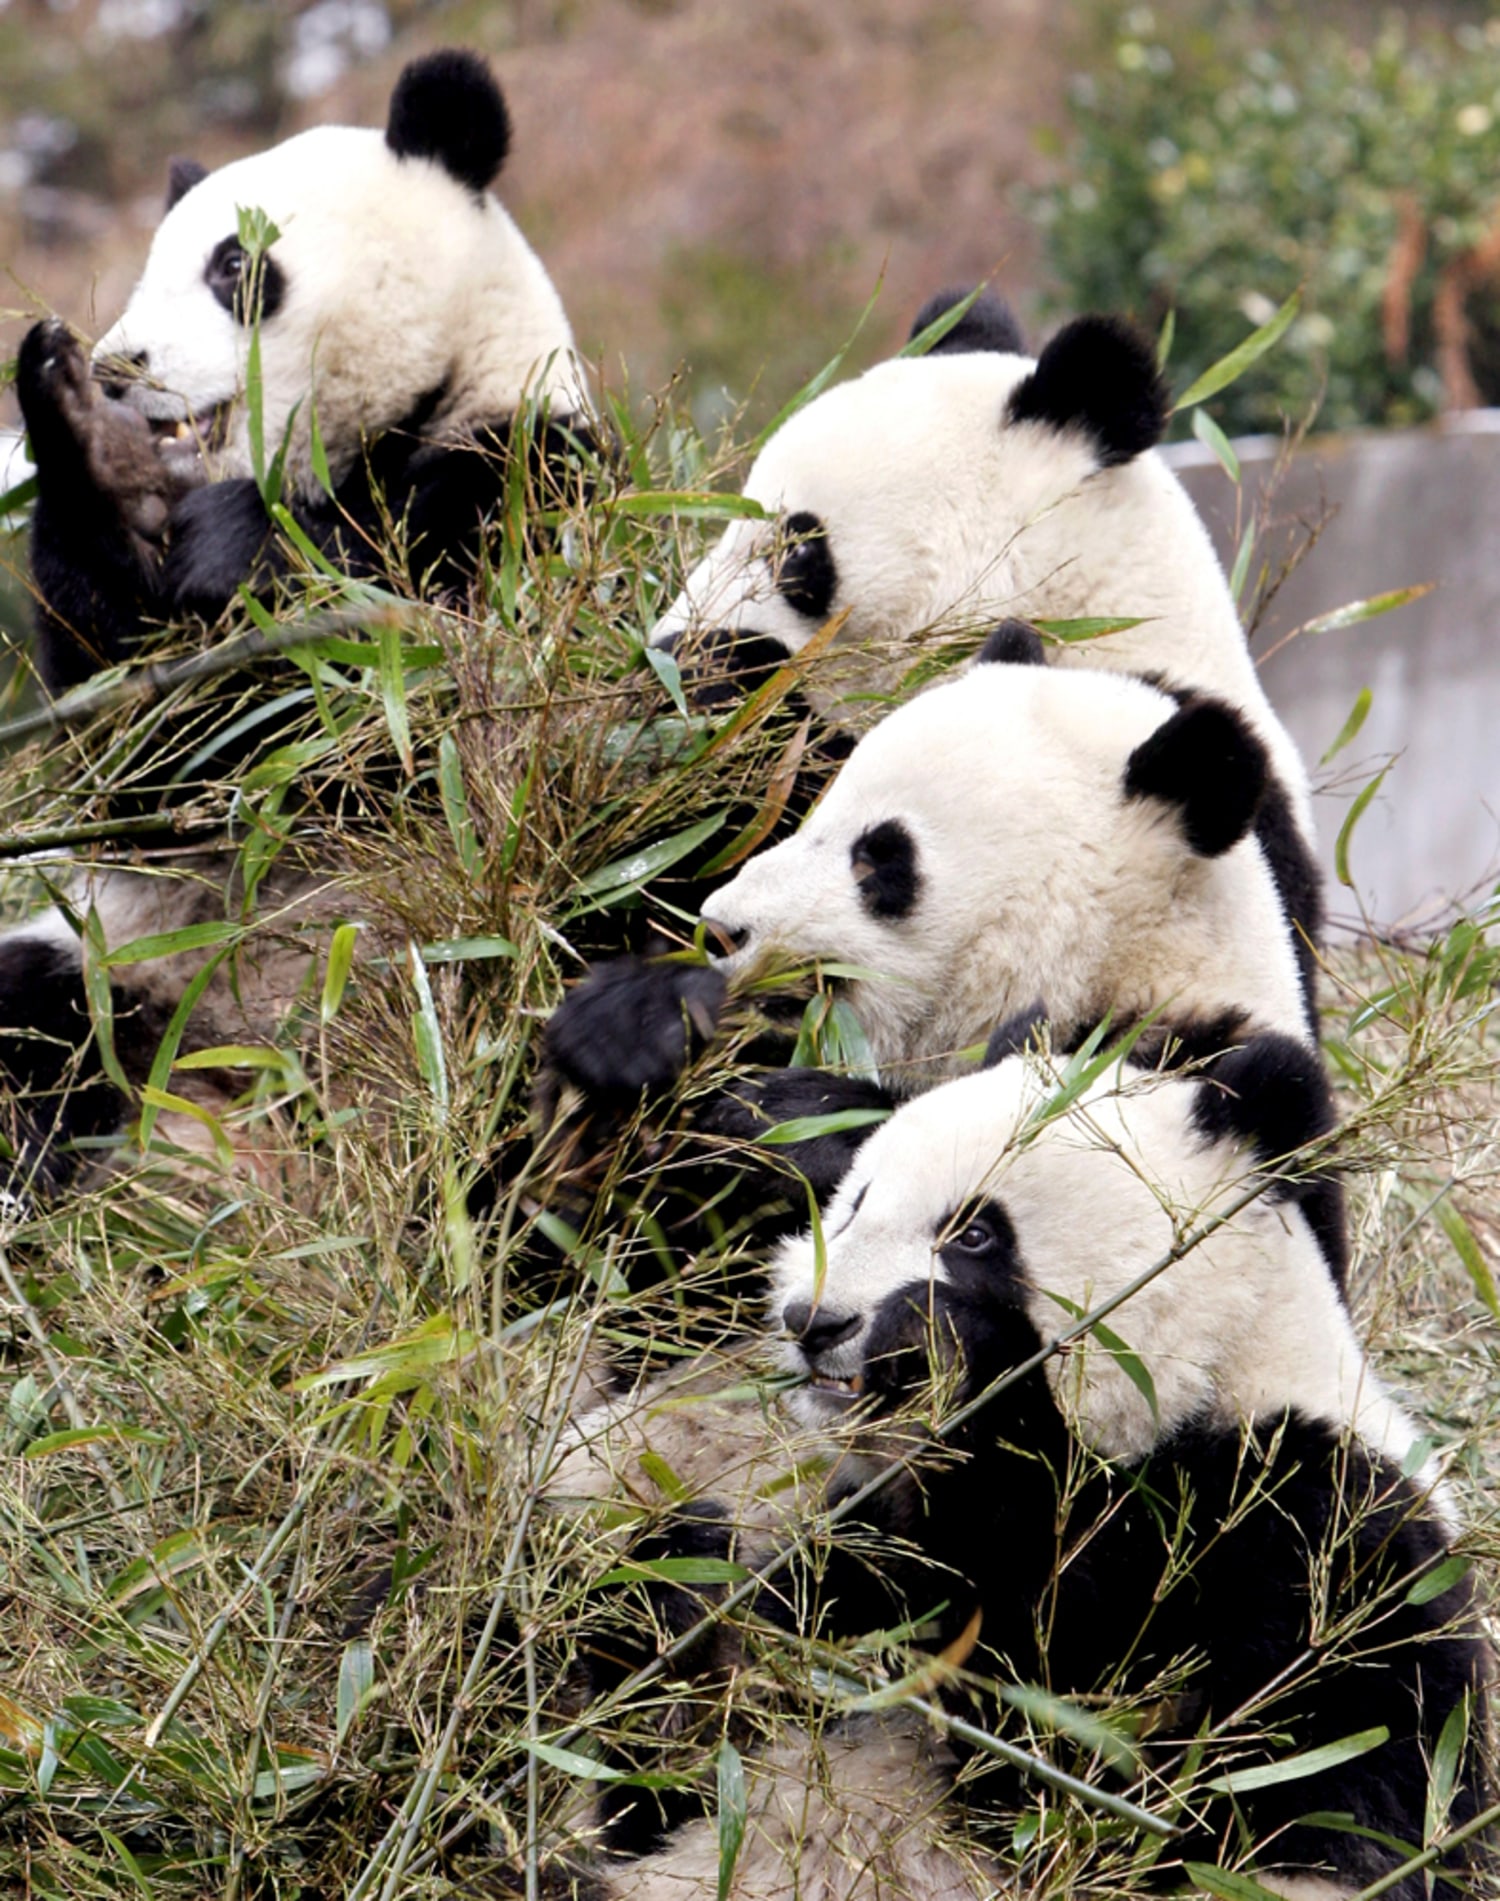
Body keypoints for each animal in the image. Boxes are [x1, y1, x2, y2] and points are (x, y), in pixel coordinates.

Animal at [1, 48, 587, 1194]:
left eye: (236, 264)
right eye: (147, 267)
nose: (120, 368)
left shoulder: (532, 476)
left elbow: (451, 707)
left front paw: (248, 549)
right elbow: (139, 763)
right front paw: (82, 438)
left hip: (494, 979)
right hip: (111, 963)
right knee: (28, 1024)